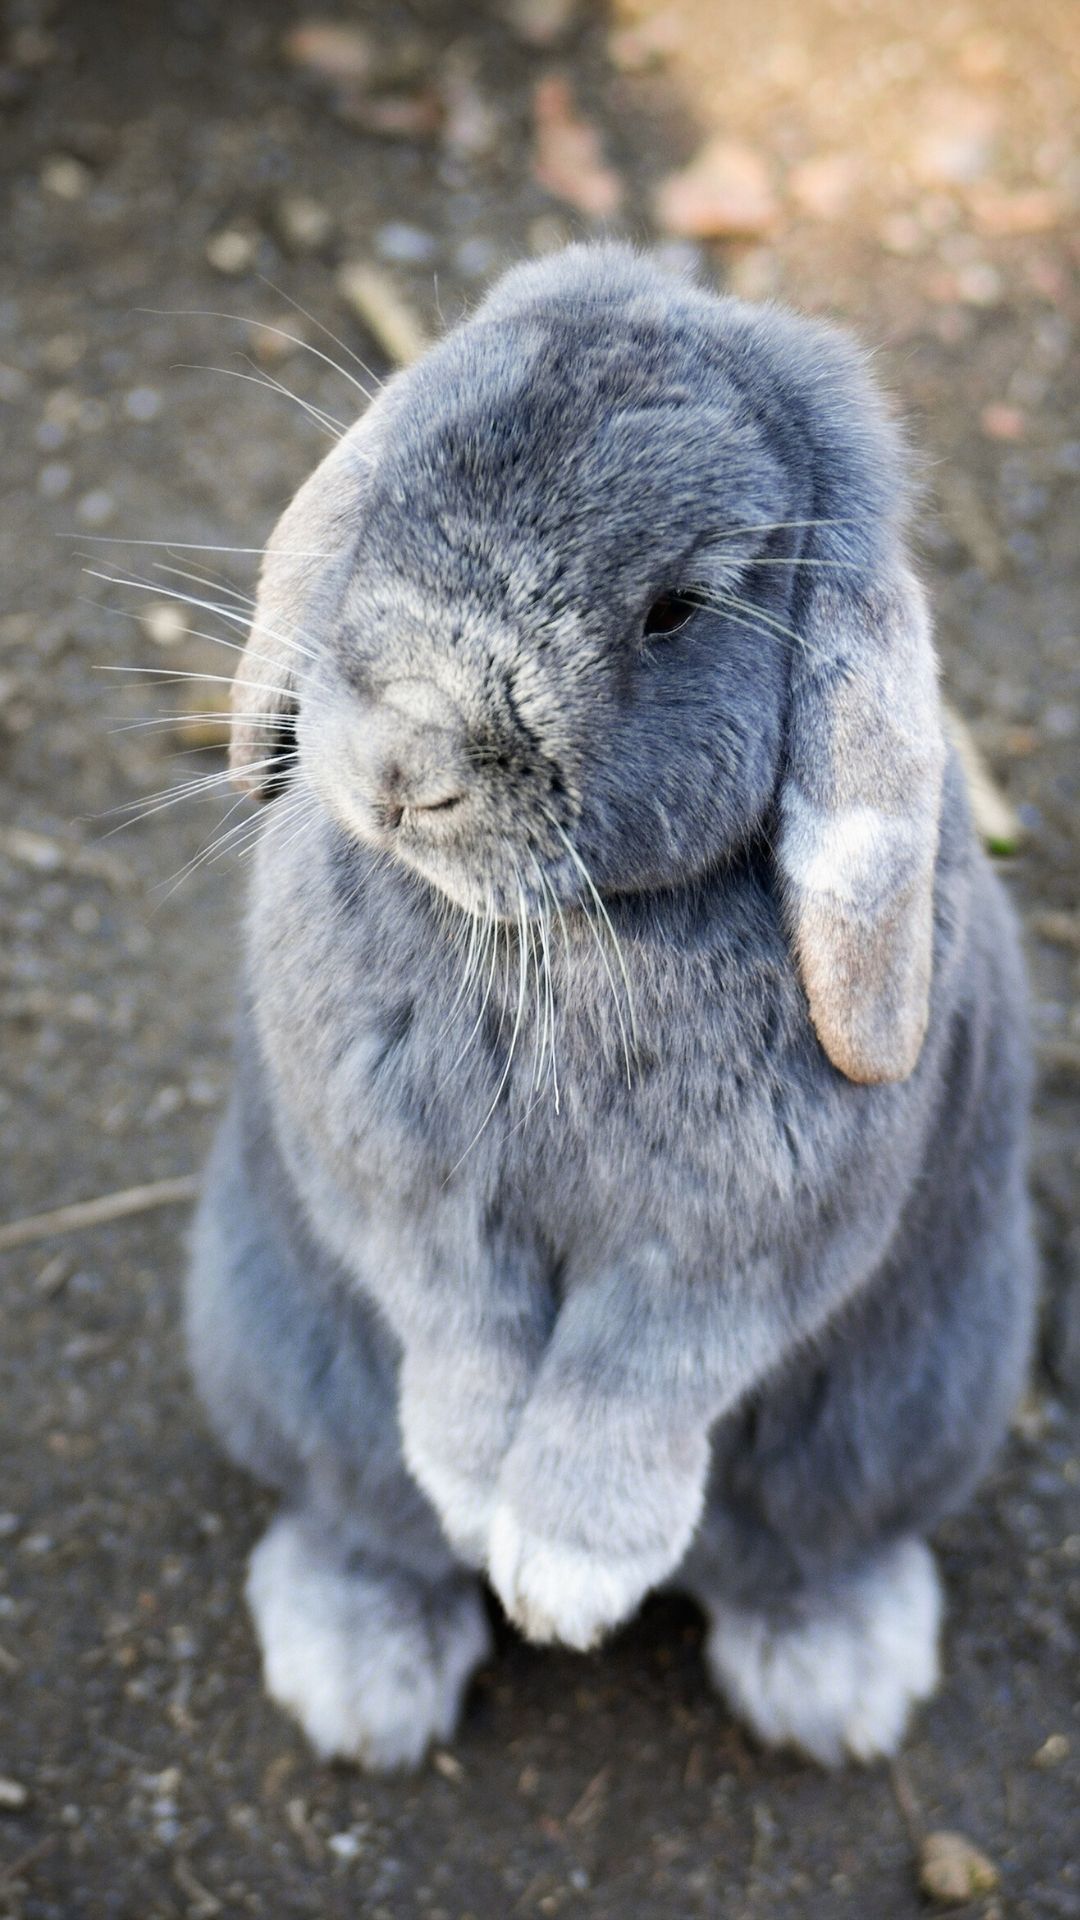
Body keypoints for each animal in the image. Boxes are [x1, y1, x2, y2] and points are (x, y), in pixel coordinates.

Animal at [185, 242, 1036, 1772]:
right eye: (391, 490)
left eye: (674, 610)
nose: (404, 763)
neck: (563, 936)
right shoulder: (404, 1193)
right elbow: (461, 1332)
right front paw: (483, 1504)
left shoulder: (729, 1248)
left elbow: (634, 1380)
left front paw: (566, 1580)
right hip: (279, 1364)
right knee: (362, 1519)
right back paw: (360, 1681)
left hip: (906, 1418)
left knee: (805, 1553)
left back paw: (837, 1685)